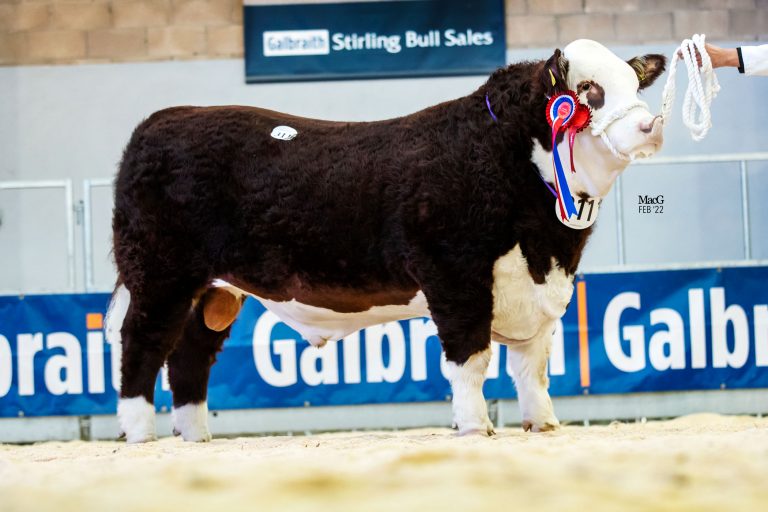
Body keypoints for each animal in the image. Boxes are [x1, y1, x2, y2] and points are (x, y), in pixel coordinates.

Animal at [105, 39, 666, 443]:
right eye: (589, 90)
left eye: (635, 85)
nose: (652, 124)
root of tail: (164, 119)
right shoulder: (455, 274)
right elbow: (471, 358)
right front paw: (474, 427)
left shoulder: (542, 288)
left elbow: (533, 366)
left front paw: (543, 424)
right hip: (160, 274)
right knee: (142, 344)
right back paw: (139, 434)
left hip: (215, 291)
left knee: (190, 356)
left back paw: (196, 437)